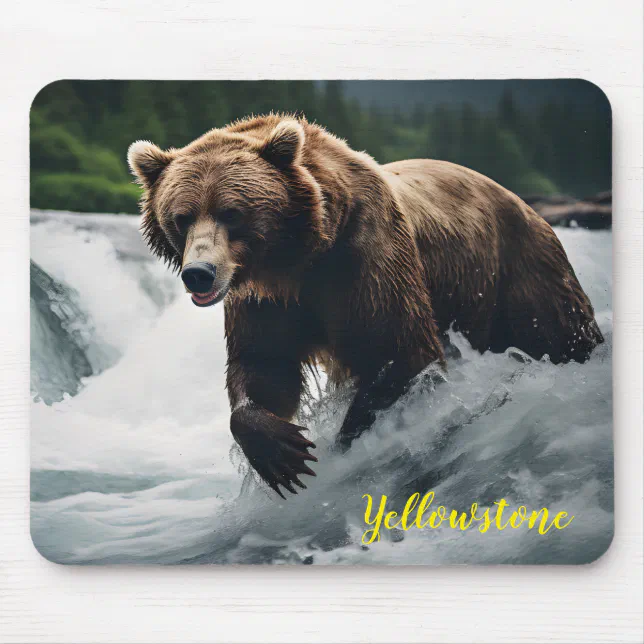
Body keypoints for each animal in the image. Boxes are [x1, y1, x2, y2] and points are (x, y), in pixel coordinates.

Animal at [128, 113, 604, 498]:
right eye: (182, 216)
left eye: (232, 213)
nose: (200, 273)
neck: (299, 257)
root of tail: (527, 205)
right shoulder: (265, 298)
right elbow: (264, 365)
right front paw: (283, 452)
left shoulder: (365, 259)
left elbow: (398, 350)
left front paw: (344, 446)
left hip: (517, 273)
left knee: (558, 331)